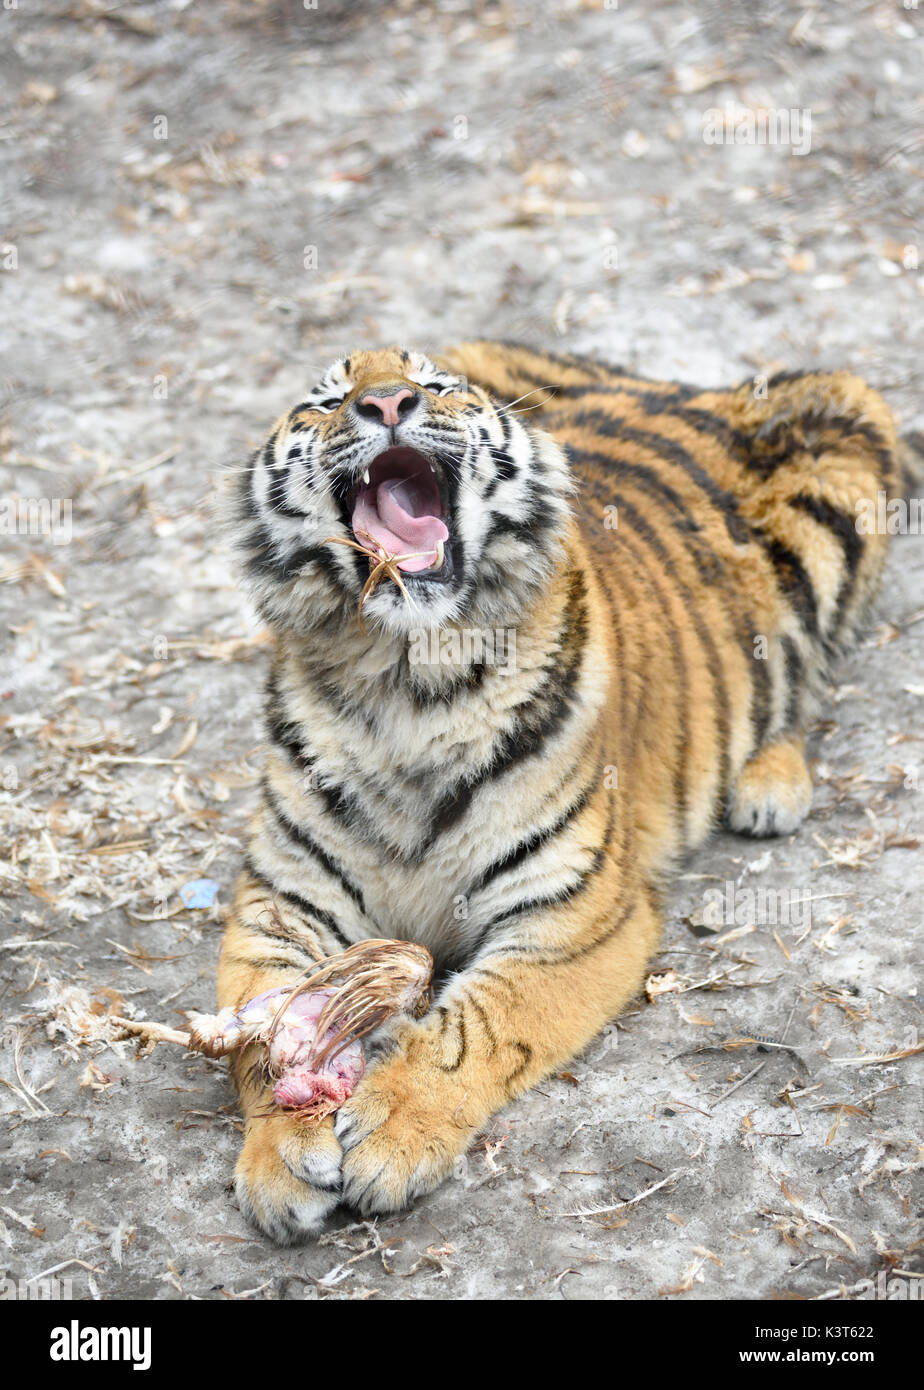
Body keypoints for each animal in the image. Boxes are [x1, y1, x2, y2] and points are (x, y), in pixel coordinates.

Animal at [220, 340, 898, 1243]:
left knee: (807, 670)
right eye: (327, 401)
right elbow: (262, 1030)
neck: (407, 682)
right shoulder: (280, 901)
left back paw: (768, 784)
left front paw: (394, 1130)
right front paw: (281, 1157)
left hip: (845, 433)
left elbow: (480, 1025)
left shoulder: (572, 917)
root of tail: (669, 380)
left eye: (430, 387)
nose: (388, 402)